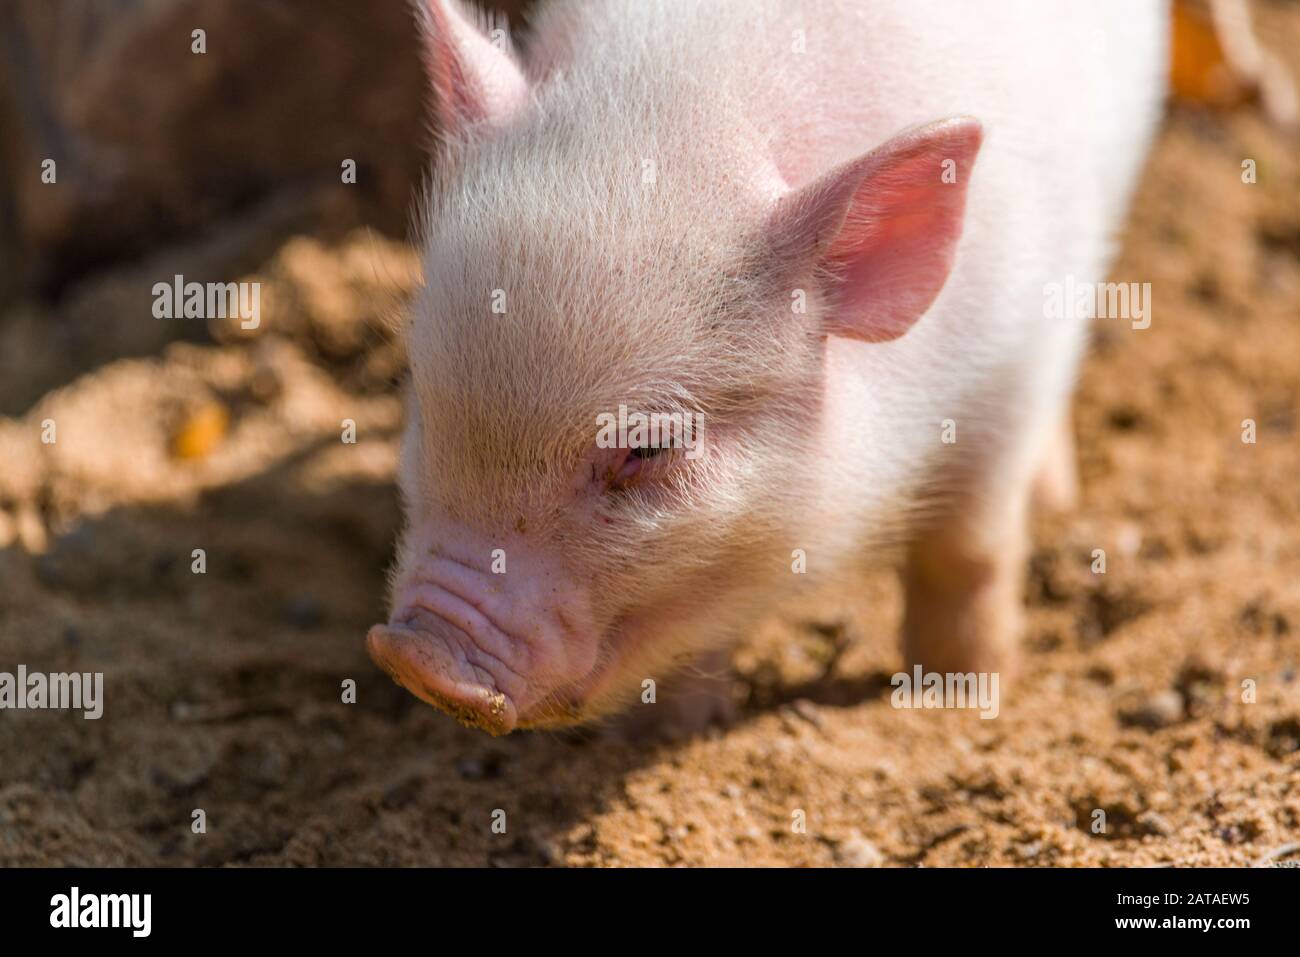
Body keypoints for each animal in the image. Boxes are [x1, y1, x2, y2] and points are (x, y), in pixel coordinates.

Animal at [367, 0, 1169, 734]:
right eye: (422, 397)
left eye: (649, 446)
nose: (420, 656)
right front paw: (681, 730)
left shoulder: (1015, 364)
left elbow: (967, 554)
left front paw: (963, 696)